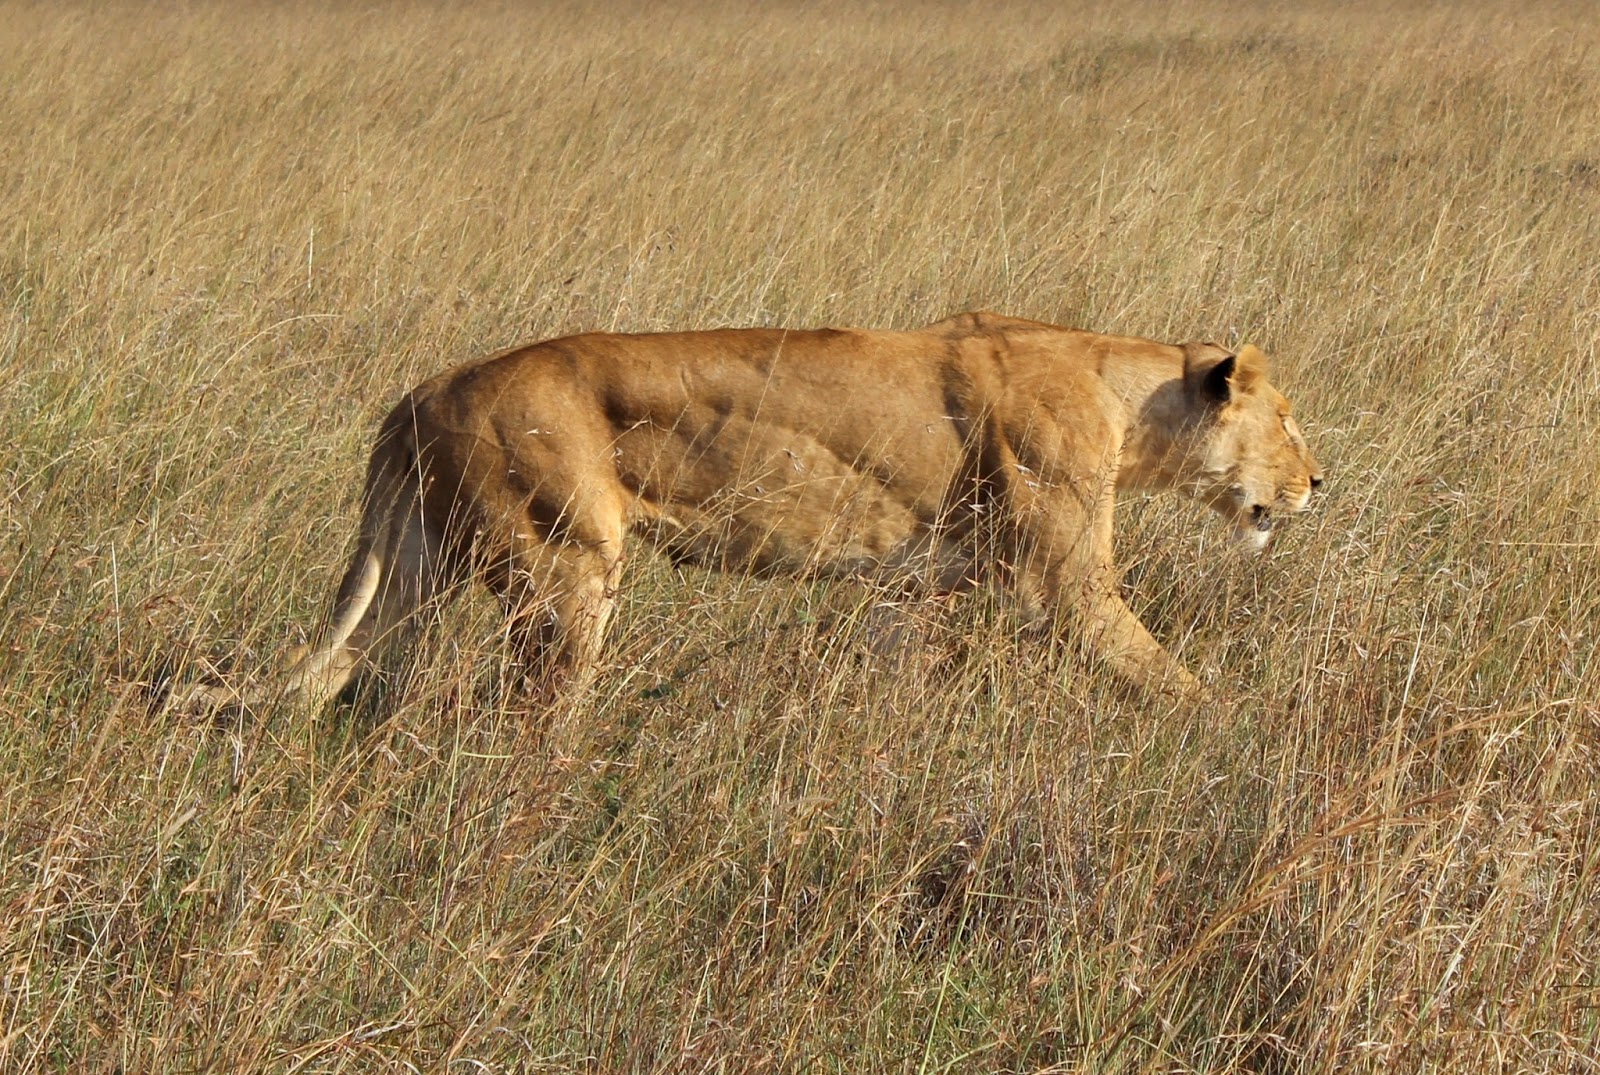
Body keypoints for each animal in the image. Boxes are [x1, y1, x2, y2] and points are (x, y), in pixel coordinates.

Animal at [186, 311, 1322, 714]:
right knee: (530, 717)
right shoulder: (1069, 584)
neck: (1129, 401)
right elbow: (1169, 675)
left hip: (418, 569)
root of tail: (424, 388)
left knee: (340, 675)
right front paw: (1242, 736)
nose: (1322, 484)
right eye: (1290, 420)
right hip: (564, 572)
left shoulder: (918, 593)